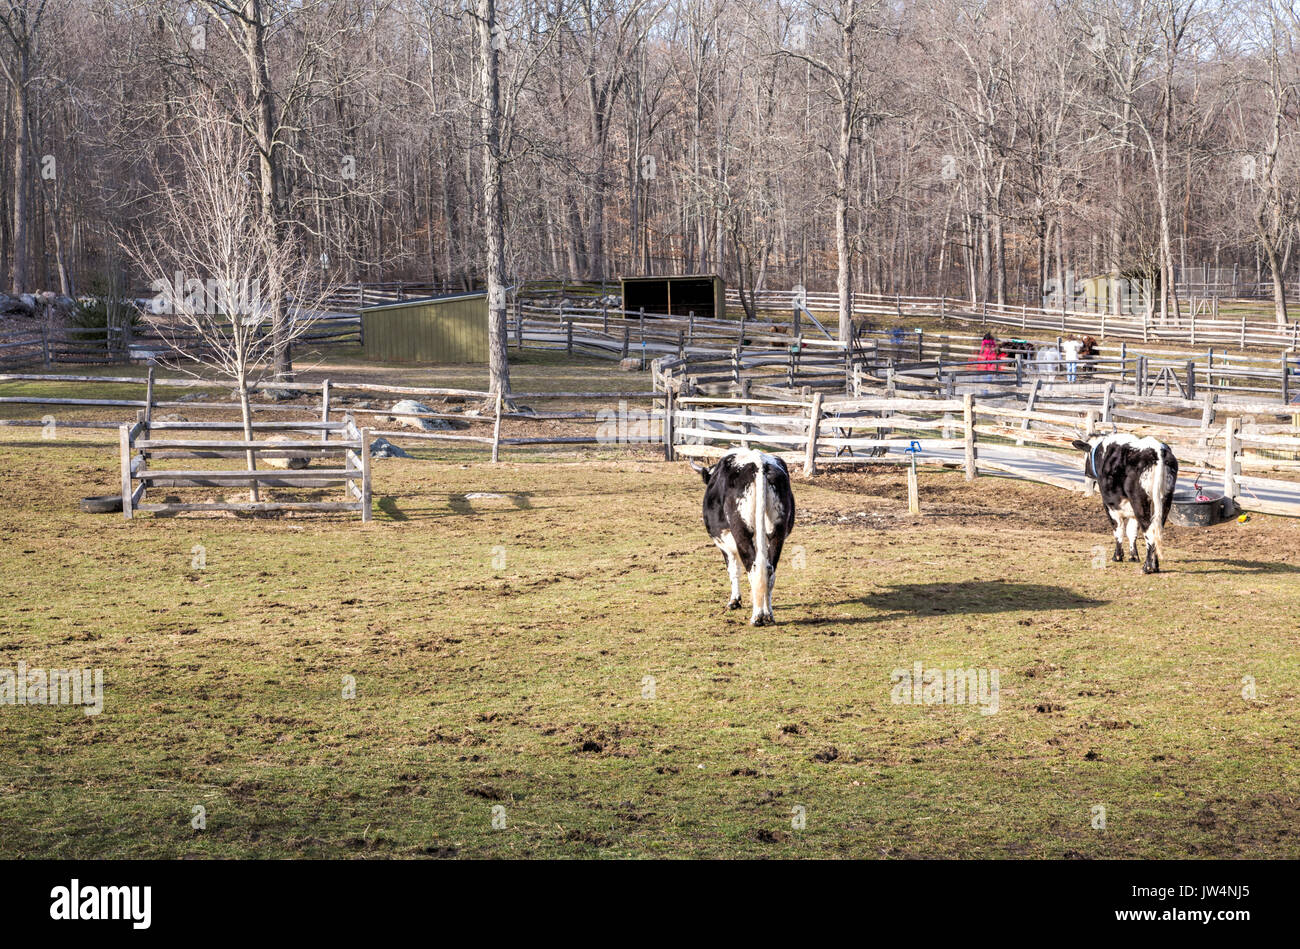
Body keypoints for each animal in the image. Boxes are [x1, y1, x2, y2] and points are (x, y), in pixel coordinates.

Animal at [691, 448, 796, 625]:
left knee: (753, 568)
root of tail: (759, 463)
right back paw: (768, 614)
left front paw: (734, 601)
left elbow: (733, 569)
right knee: (769, 570)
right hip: (776, 532)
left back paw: (757, 616)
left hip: (742, 533)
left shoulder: (725, 544)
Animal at [1071, 433, 1178, 574]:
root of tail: (1156, 450)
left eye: (1086, 454)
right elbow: (1131, 531)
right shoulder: (1131, 511)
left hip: (1139, 501)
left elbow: (1118, 529)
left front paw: (1117, 556)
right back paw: (1155, 566)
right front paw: (1133, 556)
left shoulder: (1110, 504)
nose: (1087, 473)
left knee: (1149, 531)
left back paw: (1148, 567)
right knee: (1157, 530)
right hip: (1165, 500)